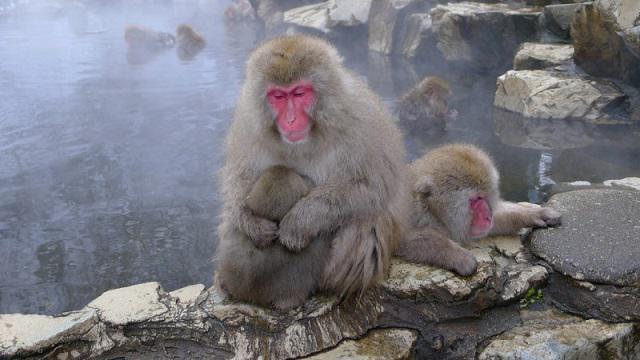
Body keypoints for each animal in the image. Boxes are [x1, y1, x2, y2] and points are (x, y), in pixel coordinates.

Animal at [398, 143, 564, 276]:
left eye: (485, 196)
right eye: (476, 199)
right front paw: (456, 255)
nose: (487, 217)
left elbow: (496, 222)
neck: (432, 211)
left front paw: (535, 214)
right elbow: (403, 239)